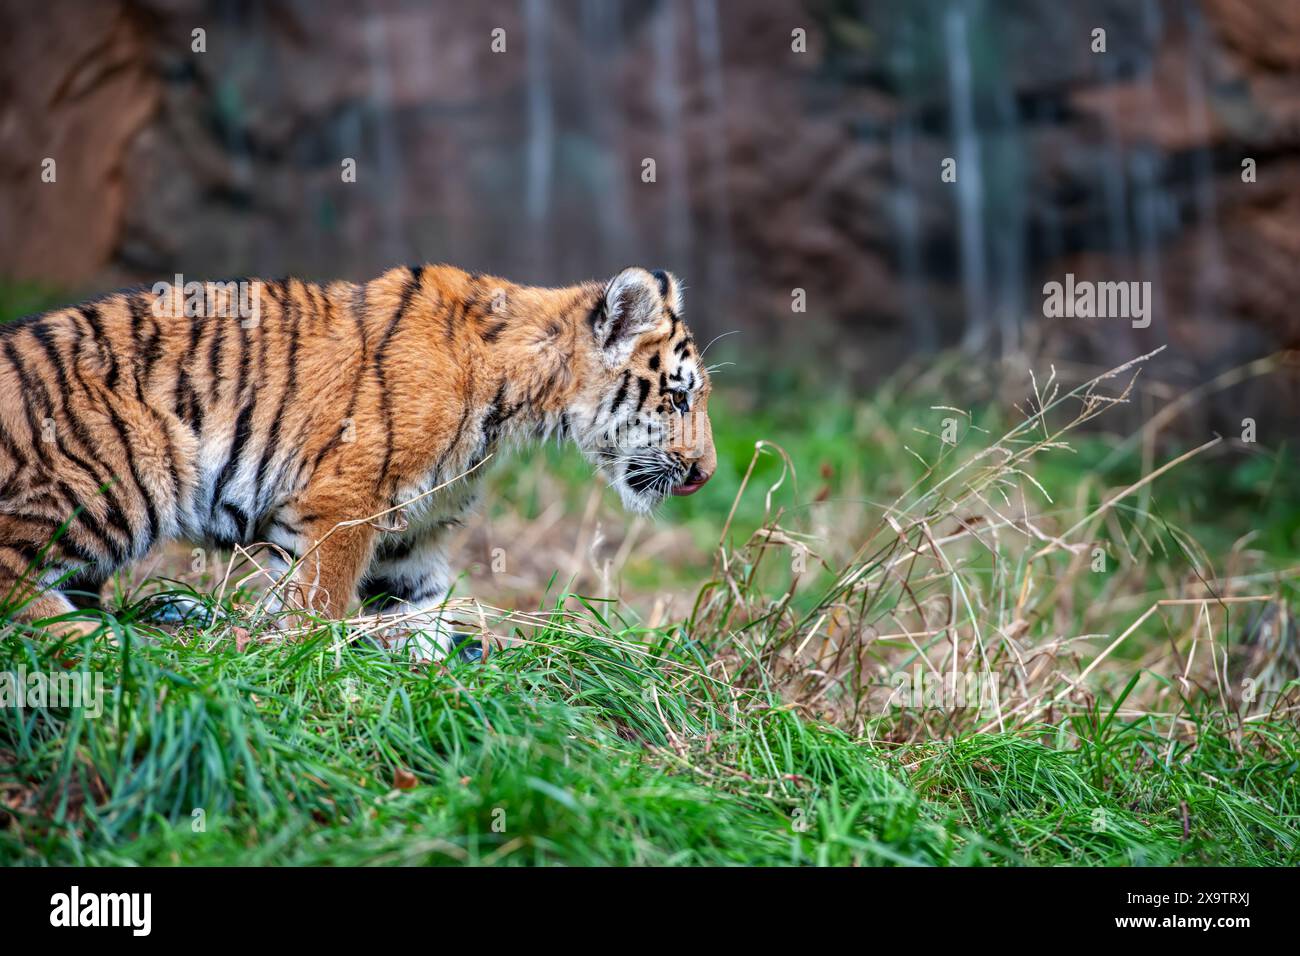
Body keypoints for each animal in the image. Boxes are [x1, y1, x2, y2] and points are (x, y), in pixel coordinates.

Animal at [0, 265, 715, 657]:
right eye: (679, 397)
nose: (705, 473)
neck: (520, 405)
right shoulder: (342, 504)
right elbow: (319, 600)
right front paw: (308, 652)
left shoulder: (411, 536)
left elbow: (426, 608)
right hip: (125, 469)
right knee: (12, 576)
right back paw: (107, 640)